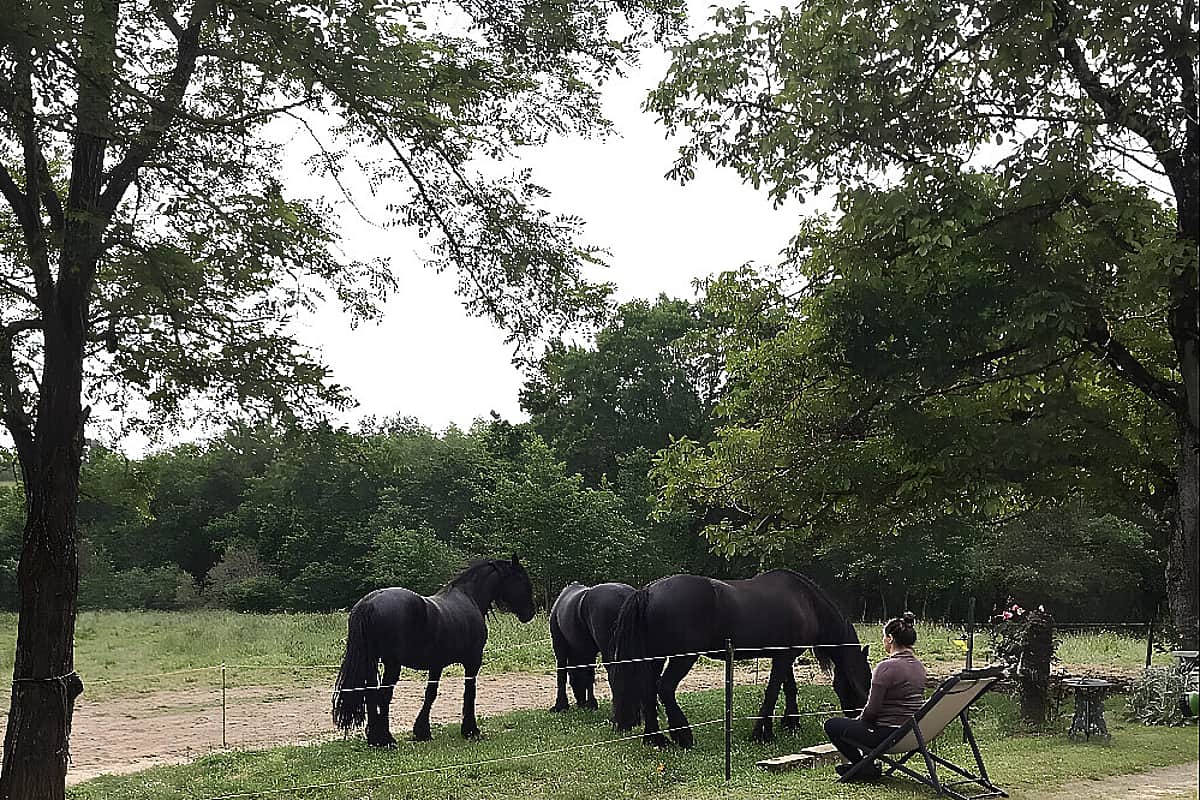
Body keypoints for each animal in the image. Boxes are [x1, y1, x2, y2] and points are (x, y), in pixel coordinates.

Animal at [332, 555, 536, 746]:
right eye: (522, 580)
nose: (530, 613)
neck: (469, 597)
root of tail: (369, 603)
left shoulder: (436, 664)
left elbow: (430, 694)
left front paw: (422, 731)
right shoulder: (472, 661)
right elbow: (469, 692)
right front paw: (470, 730)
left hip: (372, 661)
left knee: (371, 693)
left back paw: (376, 738)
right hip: (391, 664)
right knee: (383, 695)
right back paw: (386, 739)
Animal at [548, 581, 635, 712]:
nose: (580, 702)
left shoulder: (559, 646)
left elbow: (561, 675)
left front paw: (560, 705)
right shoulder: (588, 652)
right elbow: (590, 675)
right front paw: (591, 704)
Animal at [609, 569, 871, 748]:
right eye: (867, 681)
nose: (857, 716)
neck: (806, 602)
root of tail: (648, 591)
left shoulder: (784, 657)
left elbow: (789, 688)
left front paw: (791, 723)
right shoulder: (783, 658)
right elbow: (773, 691)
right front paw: (762, 733)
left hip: (655, 658)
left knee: (649, 690)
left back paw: (655, 739)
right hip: (681, 658)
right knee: (664, 688)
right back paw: (682, 735)